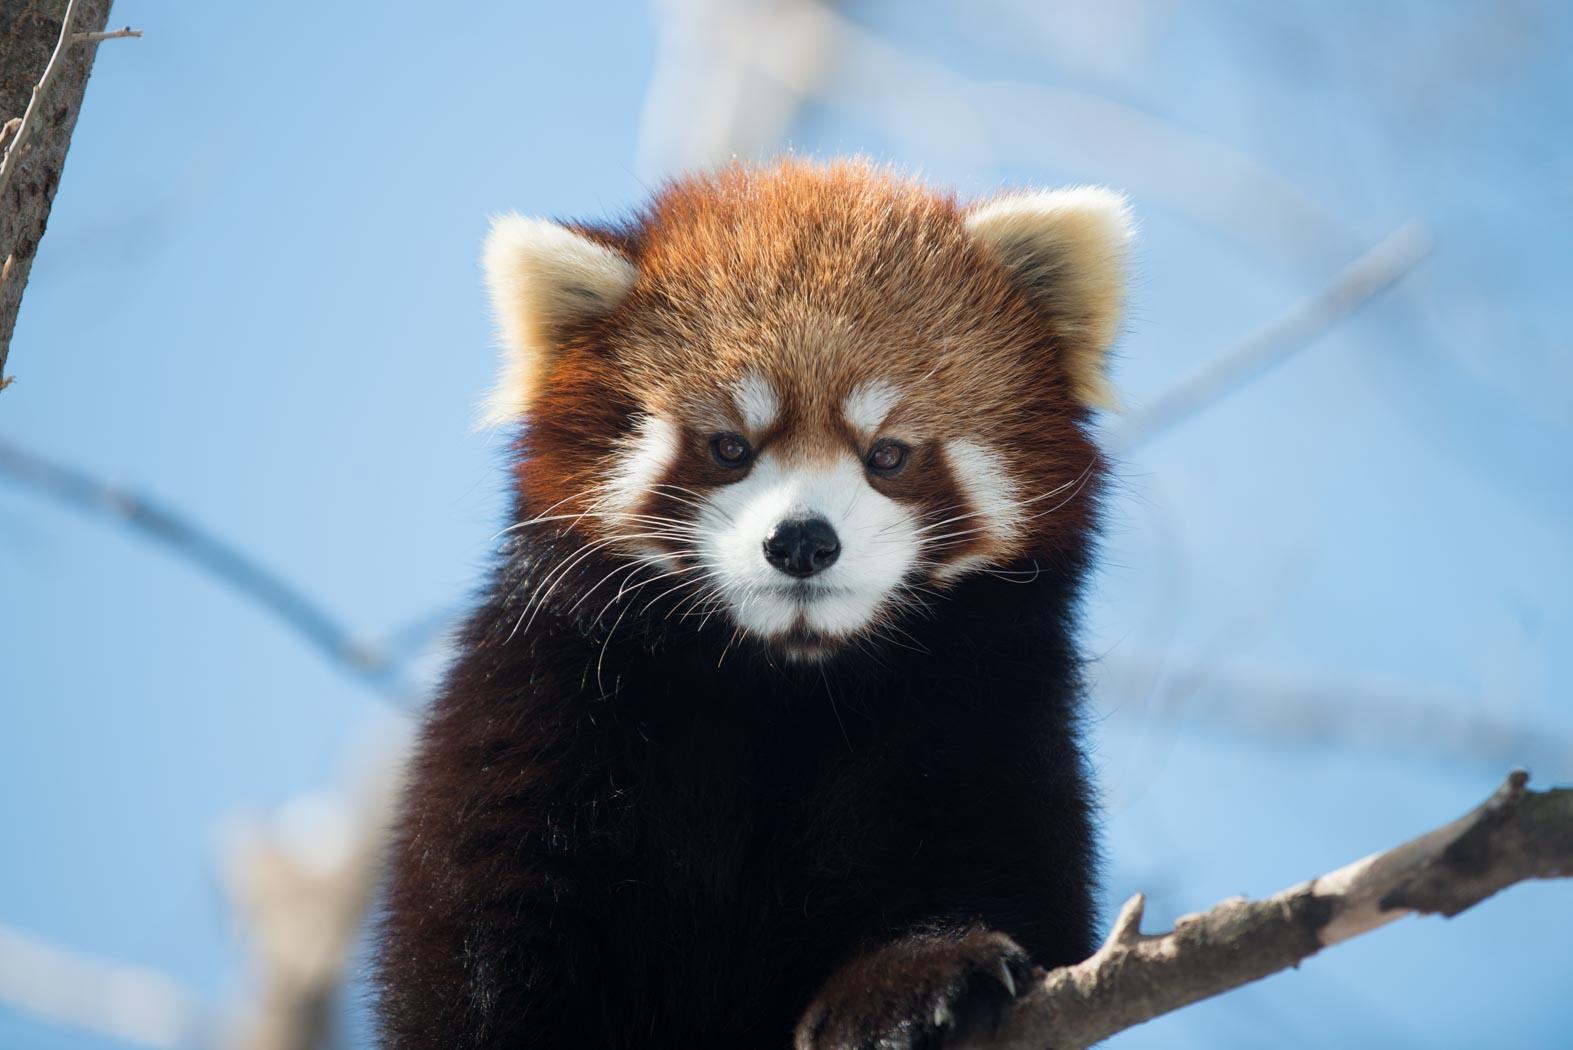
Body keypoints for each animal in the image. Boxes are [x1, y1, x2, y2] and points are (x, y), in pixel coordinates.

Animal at [377, 157, 1134, 1049]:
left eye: (888, 455)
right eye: (729, 448)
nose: (802, 542)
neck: (783, 681)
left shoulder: (987, 712)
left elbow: (996, 863)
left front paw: (914, 978)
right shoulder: (542, 709)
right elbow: (483, 939)